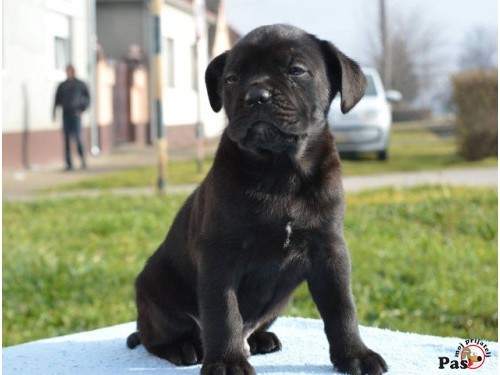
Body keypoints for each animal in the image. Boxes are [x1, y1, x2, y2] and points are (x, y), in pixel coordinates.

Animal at [127, 24, 388, 375]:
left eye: (296, 70)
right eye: (231, 79)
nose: (256, 96)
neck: (281, 171)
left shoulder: (329, 249)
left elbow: (342, 306)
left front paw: (355, 355)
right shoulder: (219, 255)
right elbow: (223, 313)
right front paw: (226, 362)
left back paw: (261, 339)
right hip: (156, 293)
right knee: (155, 336)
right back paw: (183, 347)